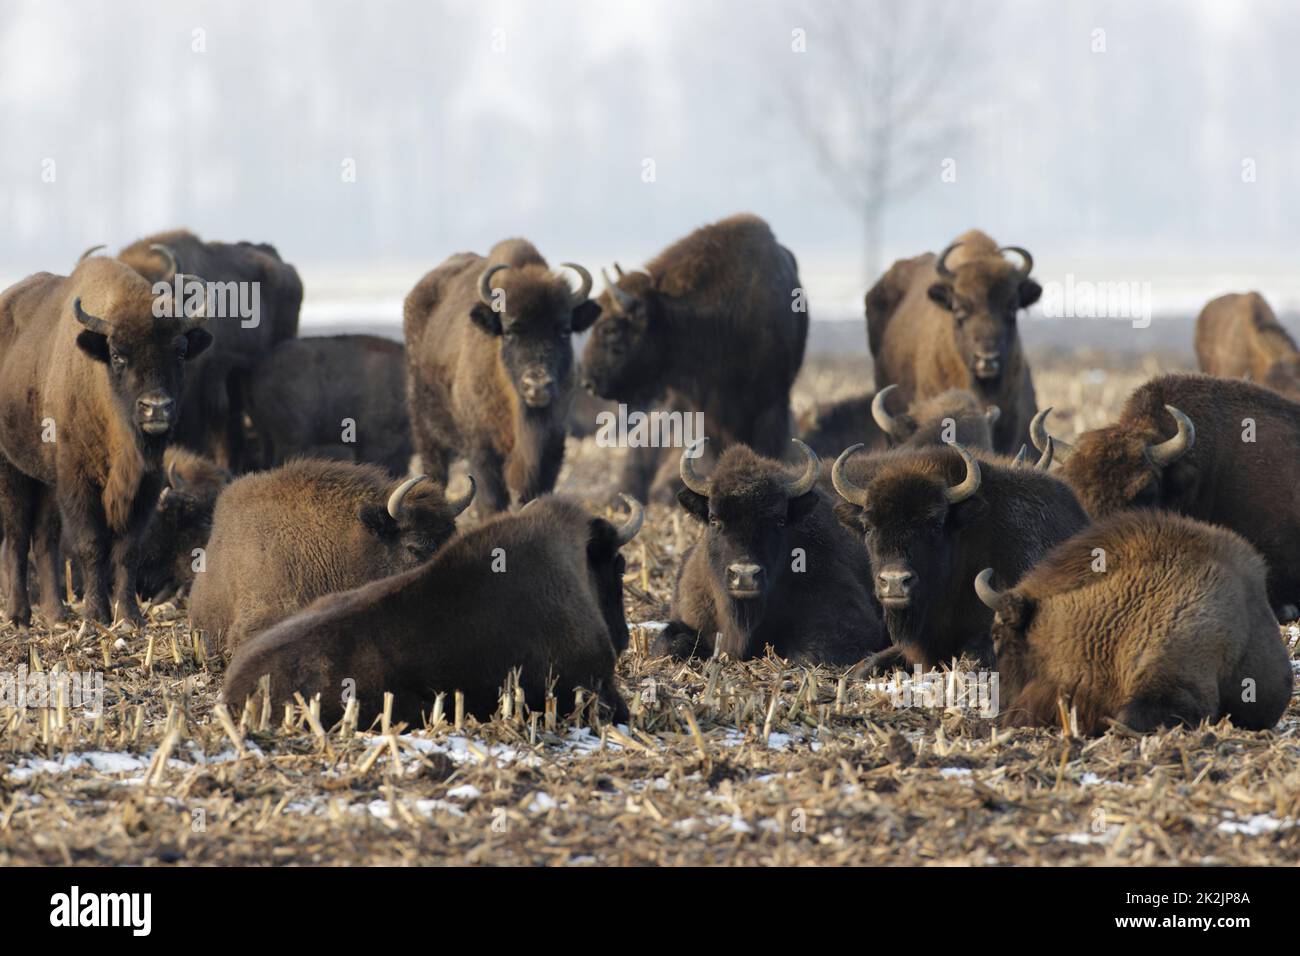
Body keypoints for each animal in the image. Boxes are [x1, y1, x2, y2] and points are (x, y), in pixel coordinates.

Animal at [0, 258, 212, 625]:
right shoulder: (76, 481)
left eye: (181, 351)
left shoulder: (146, 484)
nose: (156, 407)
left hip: (44, 478)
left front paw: (128, 616)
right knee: (17, 534)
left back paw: (56, 614)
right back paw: (19, 615)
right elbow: (91, 543)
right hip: (11, 468)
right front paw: (96, 615)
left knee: (44, 537)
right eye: (116, 354)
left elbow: (128, 549)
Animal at [404, 240, 598, 514]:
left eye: (564, 330)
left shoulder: (551, 448)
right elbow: (492, 501)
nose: (537, 385)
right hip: (427, 435)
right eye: (509, 331)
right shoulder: (483, 450)